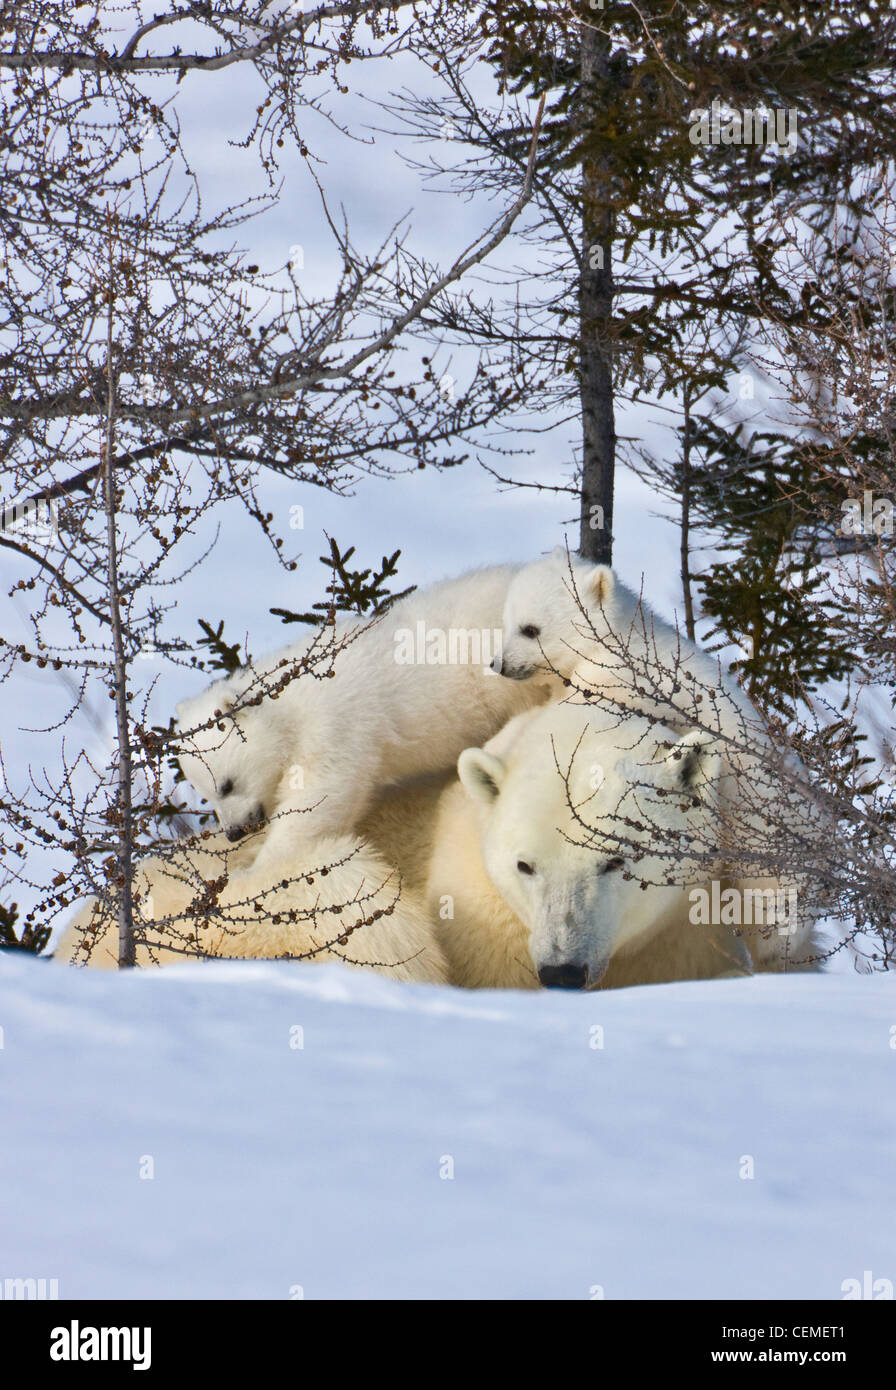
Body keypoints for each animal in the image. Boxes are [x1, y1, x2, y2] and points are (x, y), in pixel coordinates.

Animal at [174, 563, 552, 892]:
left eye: (226, 784)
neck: (291, 702)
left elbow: (322, 796)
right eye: (205, 794)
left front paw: (250, 870)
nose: (234, 832)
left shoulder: (333, 725)